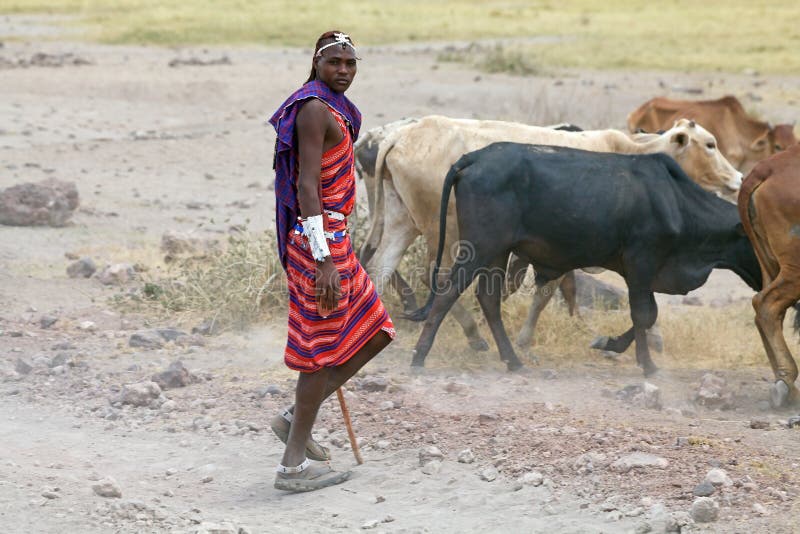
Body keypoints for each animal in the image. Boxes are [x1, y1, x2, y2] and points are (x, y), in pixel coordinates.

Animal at [367, 115, 742, 352]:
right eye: (709, 144)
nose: (738, 178)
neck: (631, 154)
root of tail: (401, 135)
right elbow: (550, 293)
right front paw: (524, 340)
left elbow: (563, 291)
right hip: (439, 228)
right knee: (436, 276)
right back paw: (473, 336)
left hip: (404, 220)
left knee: (380, 268)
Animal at [408, 143, 762, 376]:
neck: (675, 200)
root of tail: (475, 156)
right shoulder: (641, 263)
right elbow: (643, 314)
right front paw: (647, 364)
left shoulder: (647, 272)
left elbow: (648, 314)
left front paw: (611, 344)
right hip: (480, 247)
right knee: (447, 294)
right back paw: (419, 358)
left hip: (498, 251)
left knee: (488, 299)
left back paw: (513, 360)